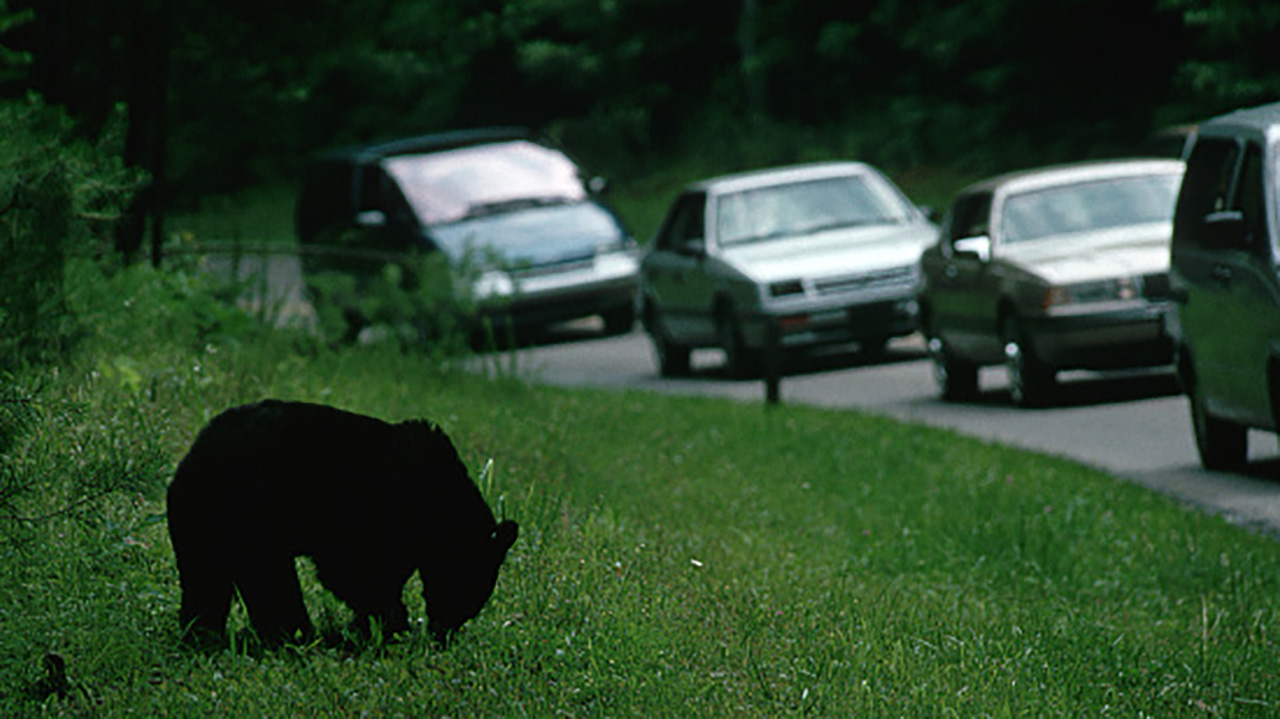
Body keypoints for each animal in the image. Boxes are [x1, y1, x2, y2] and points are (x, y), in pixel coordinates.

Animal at [166, 399, 517, 646]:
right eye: (467, 590)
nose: (444, 633)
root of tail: (194, 458)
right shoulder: (377, 511)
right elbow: (359, 571)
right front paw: (390, 626)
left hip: (201, 524)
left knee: (205, 580)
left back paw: (203, 635)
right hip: (249, 512)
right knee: (270, 580)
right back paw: (297, 636)